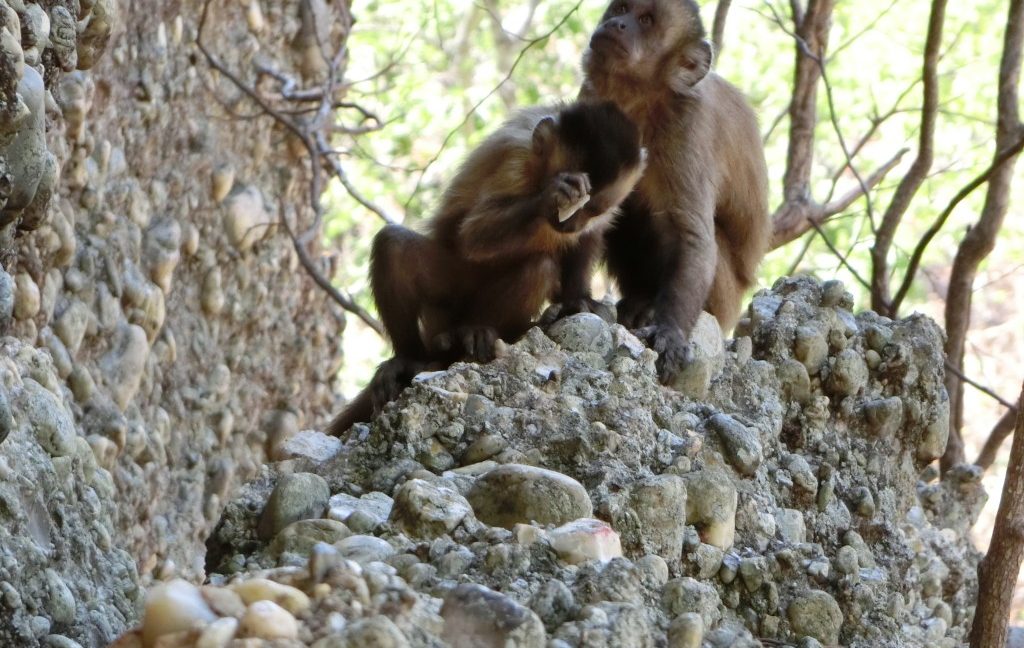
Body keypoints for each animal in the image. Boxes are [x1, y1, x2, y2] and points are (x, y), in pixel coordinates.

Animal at [325, 101, 647, 435]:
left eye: (593, 209)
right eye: (572, 203)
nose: (570, 223)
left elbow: (589, 238)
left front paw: (577, 300)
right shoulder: (515, 159)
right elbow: (474, 235)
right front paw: (550, 196)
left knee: (538, 268)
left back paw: (486, 332)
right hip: (445, 302)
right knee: (394, 245)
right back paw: (414, 358)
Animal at [580, 0, 770, 384]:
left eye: (646, 20)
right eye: (620, 9)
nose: (618, 25)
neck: (640, 102)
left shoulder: (686, 126)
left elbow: (692, 235)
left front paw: (670, 331)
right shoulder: (592, 102)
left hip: (726, 301)